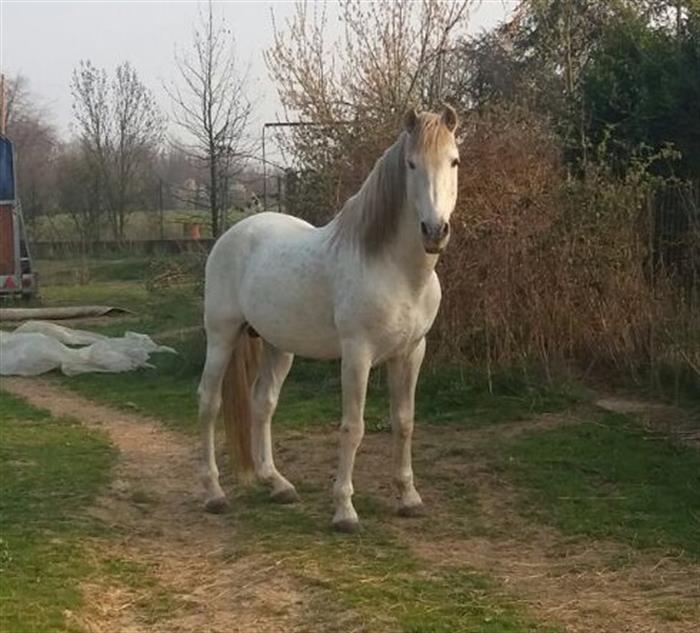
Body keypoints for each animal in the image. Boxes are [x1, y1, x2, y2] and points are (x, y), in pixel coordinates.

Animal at [197, 106, 460, 532]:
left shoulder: (411, 353)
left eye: (454, 161)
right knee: (209, 401)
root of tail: (233, 233)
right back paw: (213, 493)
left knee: (262, 403)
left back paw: (278, 484)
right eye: (411, 163)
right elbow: (353, 427)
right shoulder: (358, 356)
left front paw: (409, 498)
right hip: (221, 336)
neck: (396, 270)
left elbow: (404, 422)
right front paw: (344, 511)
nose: (434, 231)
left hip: (277, 346)